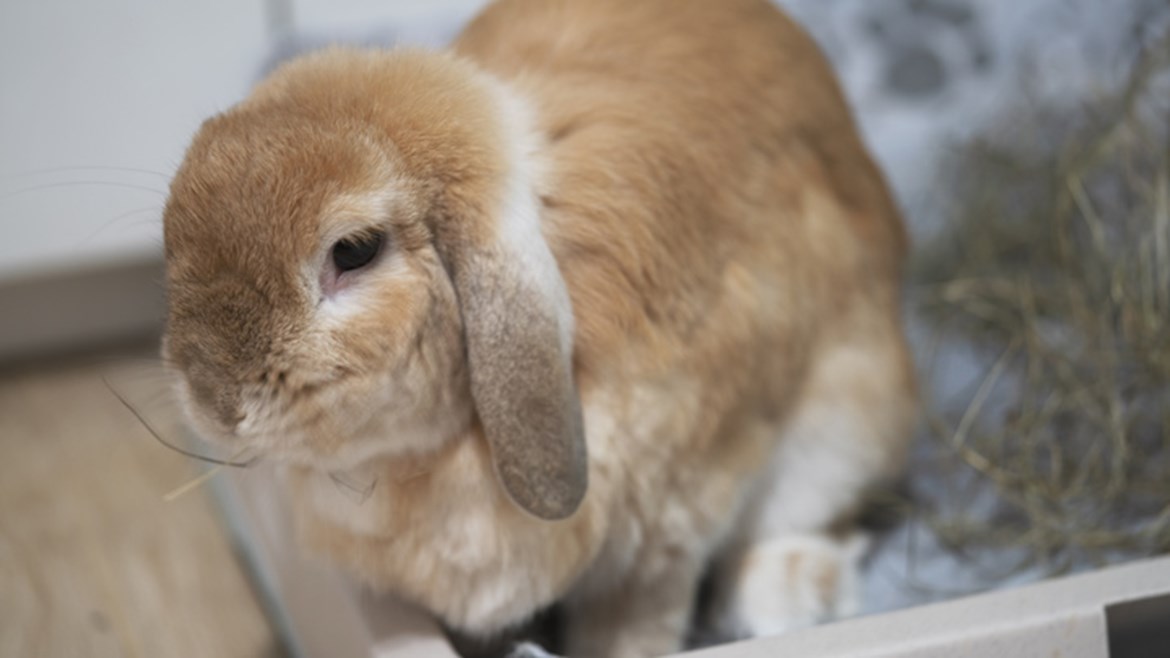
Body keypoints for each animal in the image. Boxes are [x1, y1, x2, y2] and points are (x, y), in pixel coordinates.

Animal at [160, 0, 917, 655]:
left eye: (354, 251)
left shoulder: (669, 536)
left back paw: (789, 592)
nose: (217, 401)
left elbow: (635, 626)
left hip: (844, 424)